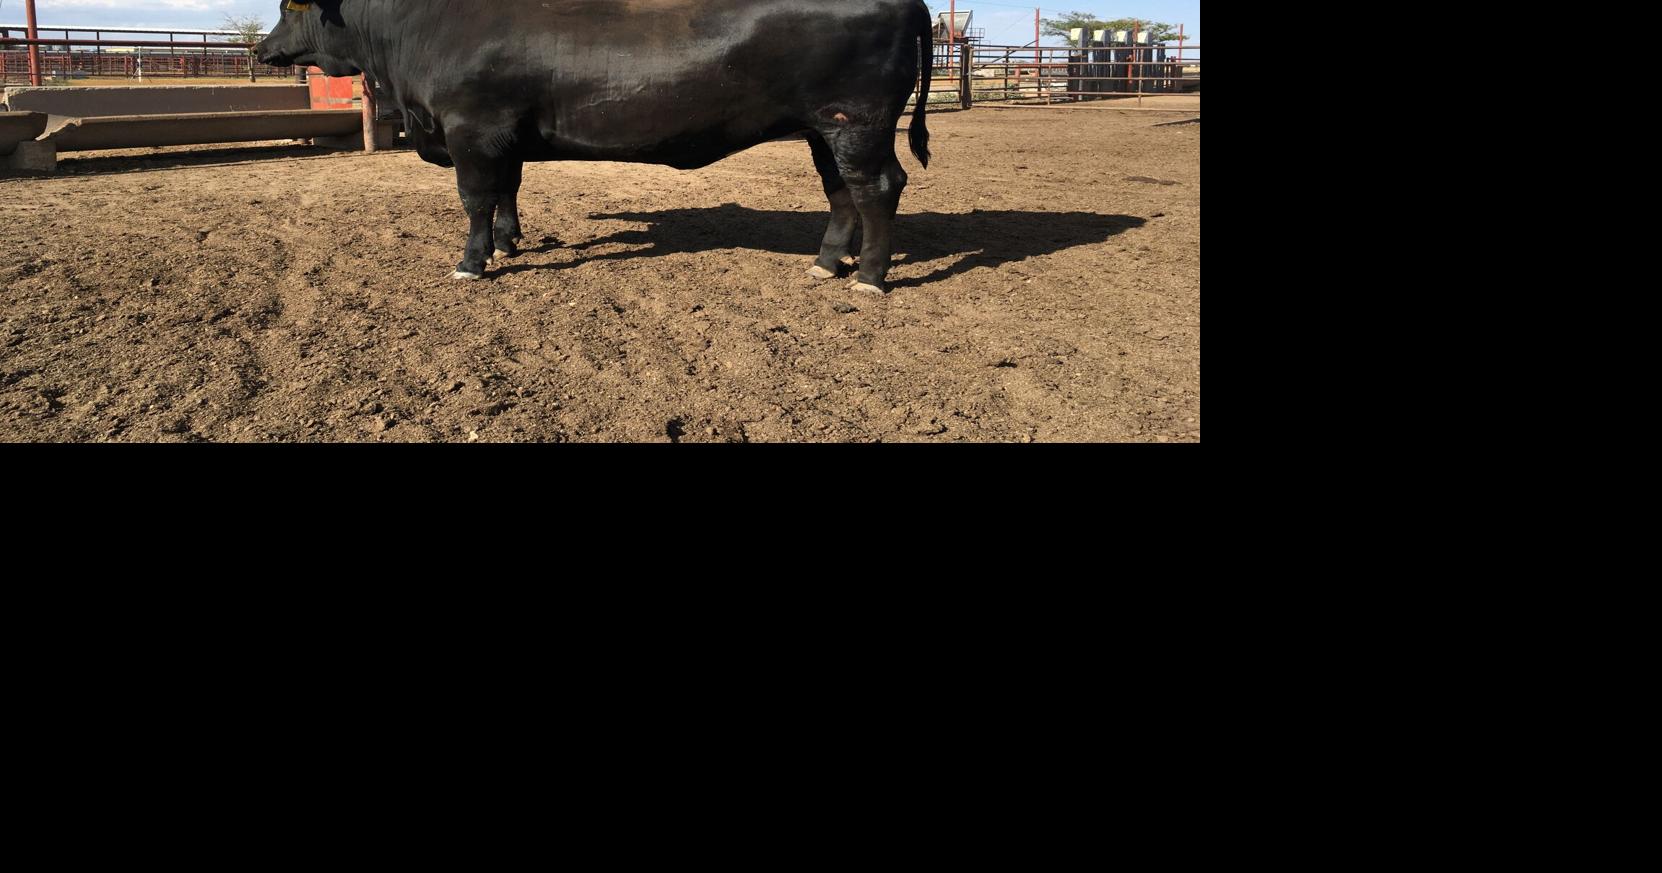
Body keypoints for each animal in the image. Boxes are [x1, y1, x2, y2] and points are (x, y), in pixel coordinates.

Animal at [257, 0, 934, 294]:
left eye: (290, 6)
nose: (261, 50)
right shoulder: (505, 137)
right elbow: (507, 189)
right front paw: (509, 242)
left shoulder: (473, 130)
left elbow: (475, 198)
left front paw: (474, 260)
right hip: (826, 129)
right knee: (841, 193)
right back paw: (827, 262)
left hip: (856, 122)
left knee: (876, 189)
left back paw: (869, 276)